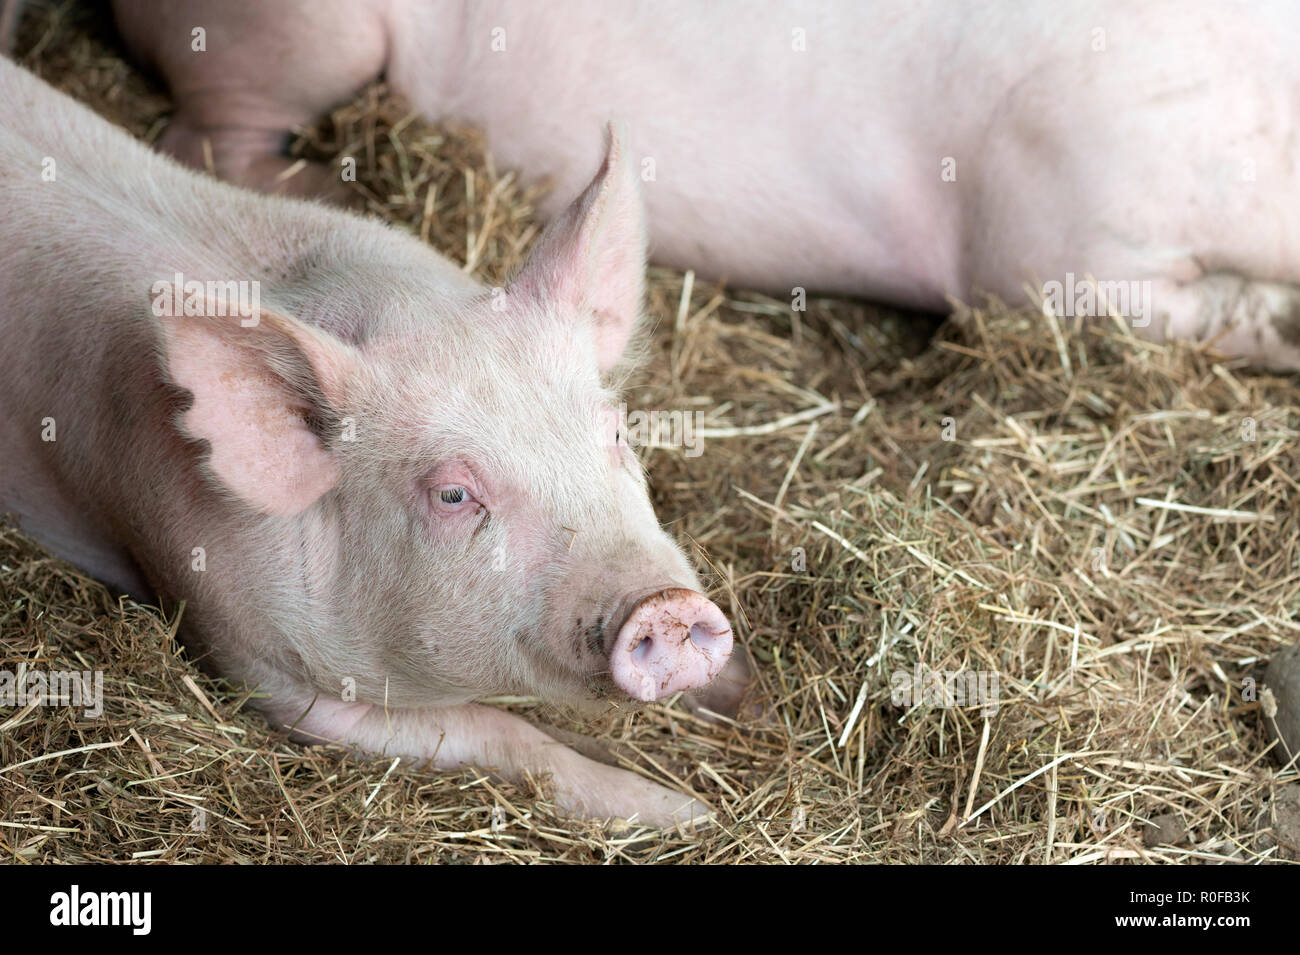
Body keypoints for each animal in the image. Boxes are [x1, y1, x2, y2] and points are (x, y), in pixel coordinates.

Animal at [0, 56, 747, 827]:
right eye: (453, 495)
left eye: (618, 429)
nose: (665, 603)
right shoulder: (263, 664)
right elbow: (505, 733)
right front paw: (688, 811)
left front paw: (737, 701)